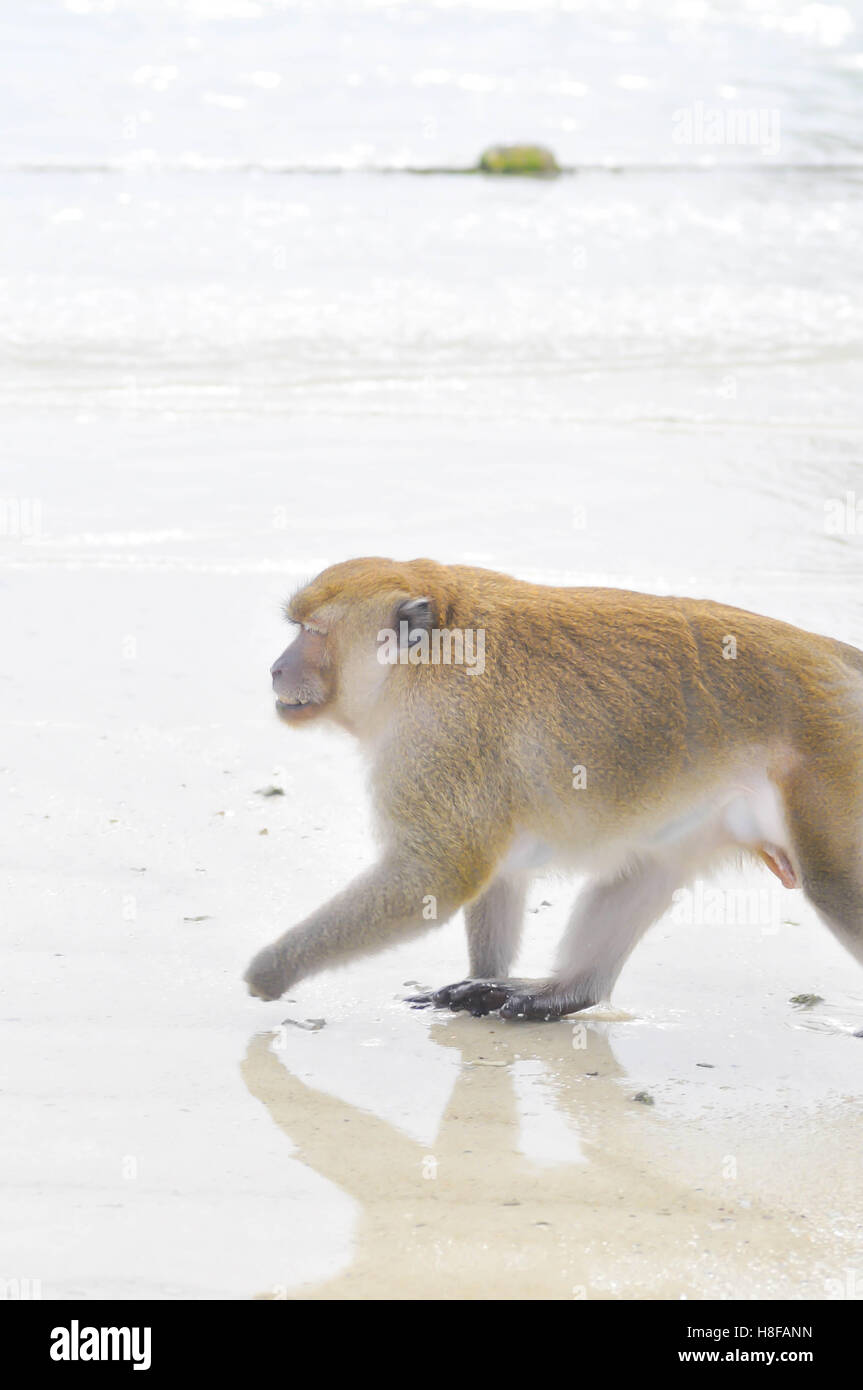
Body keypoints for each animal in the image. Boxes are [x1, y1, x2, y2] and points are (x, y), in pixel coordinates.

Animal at [244, 556, 863, 1021]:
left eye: (311, 633)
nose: (275, 668)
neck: (416, 664)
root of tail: (834, 652)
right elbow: (495, 868)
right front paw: (481, 978)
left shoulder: (439, 732)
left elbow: (437, 874)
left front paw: (271, 969)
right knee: (651, 864)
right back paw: (564, 994)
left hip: (832, 764)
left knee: (835, 886)